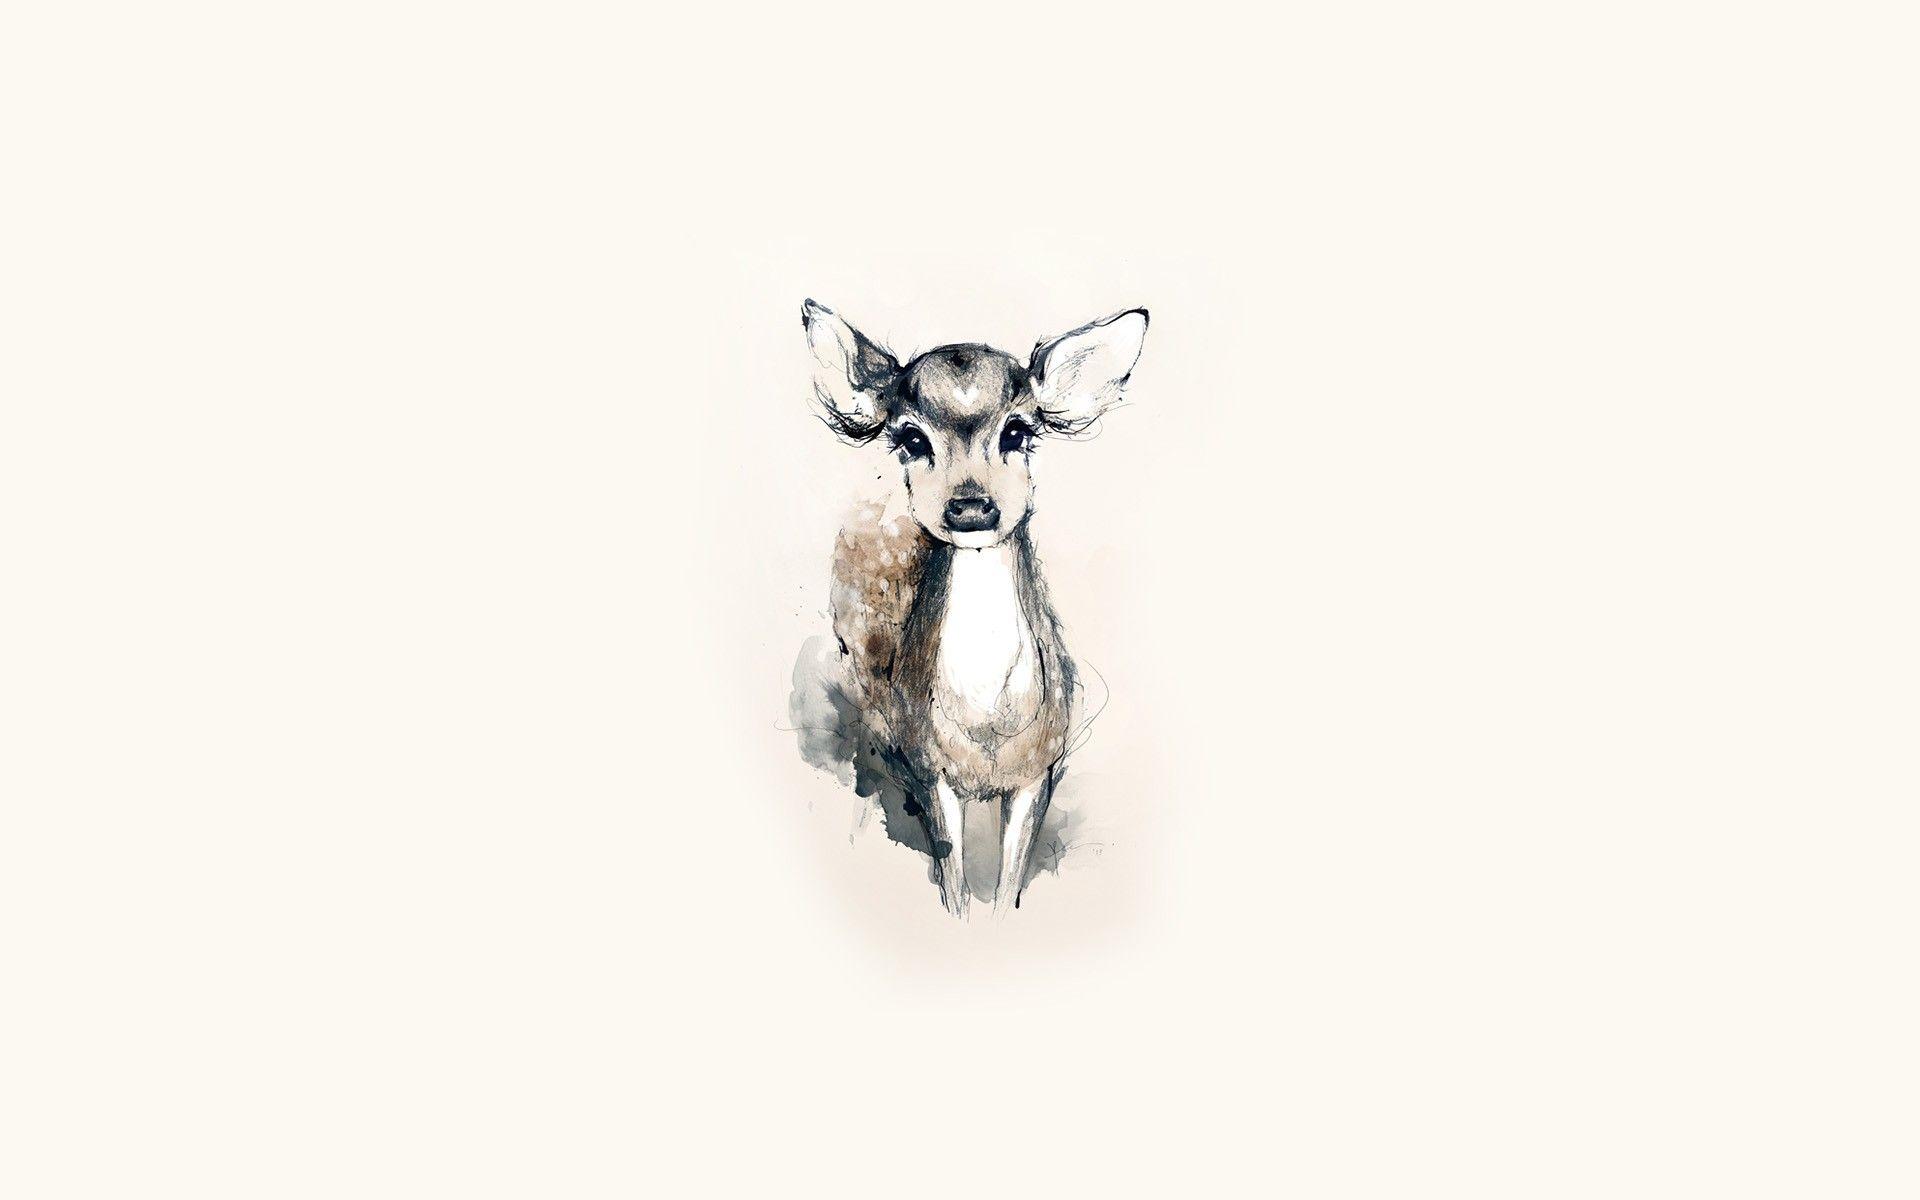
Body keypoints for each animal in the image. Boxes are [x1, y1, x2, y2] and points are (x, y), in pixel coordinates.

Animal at [800, 299, 1149, 918]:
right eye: (911, 438)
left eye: (1018, 429)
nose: (969, 507)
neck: (987, 727)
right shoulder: (931, 769)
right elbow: (955, 883)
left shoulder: (1039, 770)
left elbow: (1009, 883)